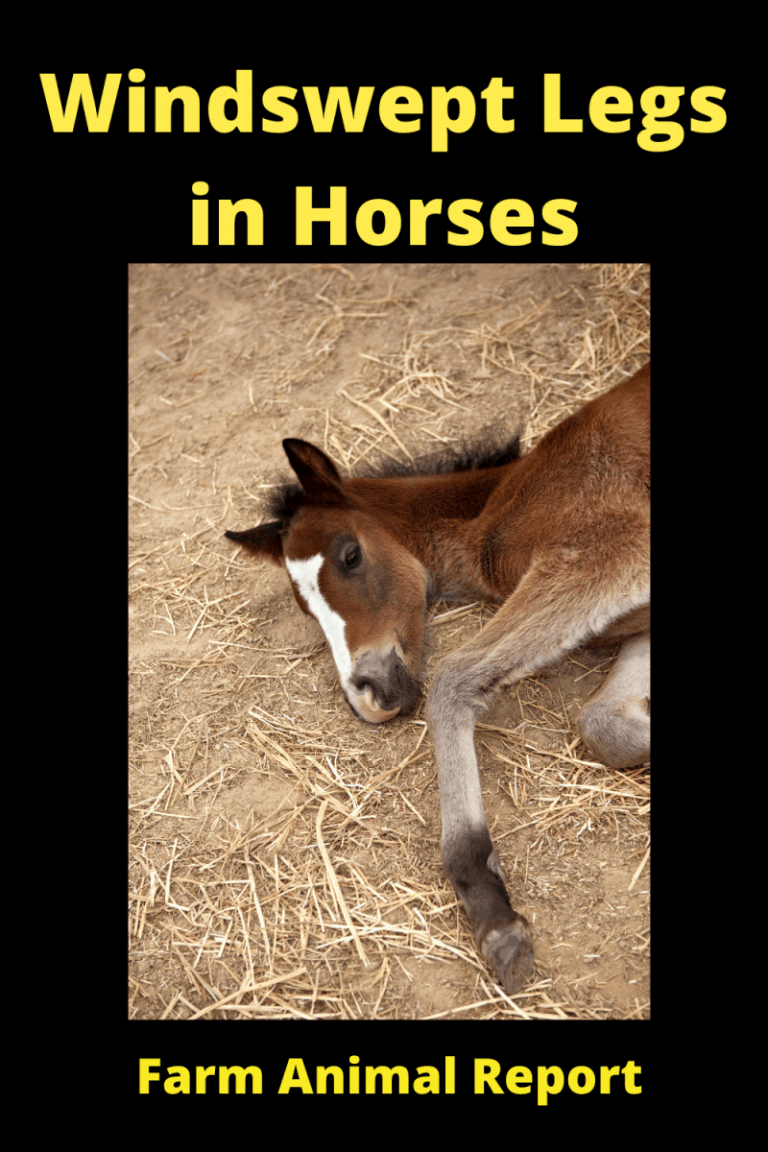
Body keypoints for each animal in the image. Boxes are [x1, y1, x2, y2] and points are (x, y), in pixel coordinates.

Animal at [226, 360, 650, 994]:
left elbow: (455, 679)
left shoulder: (607, 549)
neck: (498, 503)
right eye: (303, 608)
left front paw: (493, 914)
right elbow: (604, 722)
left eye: (350, 555)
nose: (367, 694)